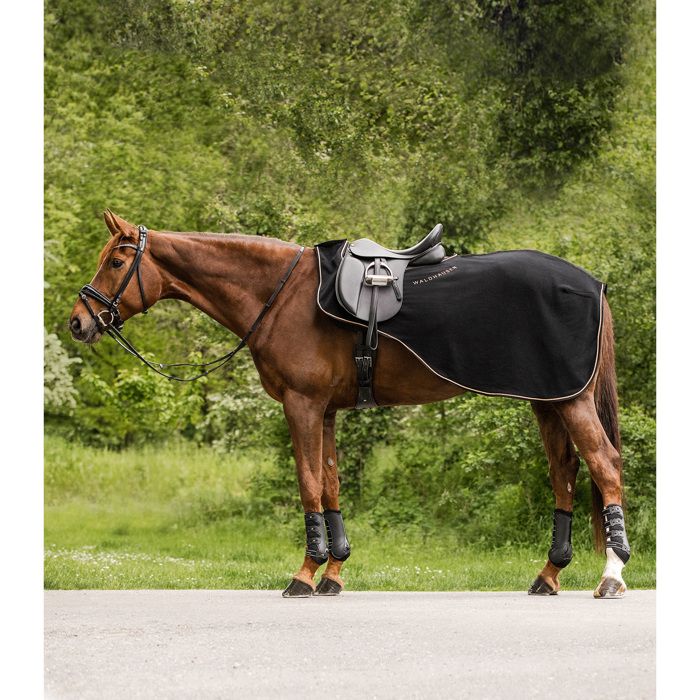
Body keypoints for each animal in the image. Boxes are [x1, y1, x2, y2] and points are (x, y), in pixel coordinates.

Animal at [69, 211, 631, 599]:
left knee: (605, 466)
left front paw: (304, 573)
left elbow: (308, 482)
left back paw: (611, 575)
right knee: (565, 473)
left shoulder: (302, 405)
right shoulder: (327, 410)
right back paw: (549, 574)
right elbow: (331, 482)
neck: (281, 296)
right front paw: (334, 571)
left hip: (572, 401)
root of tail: (592, 283)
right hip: (549, 401)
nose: (79, 321)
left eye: (116, 261)